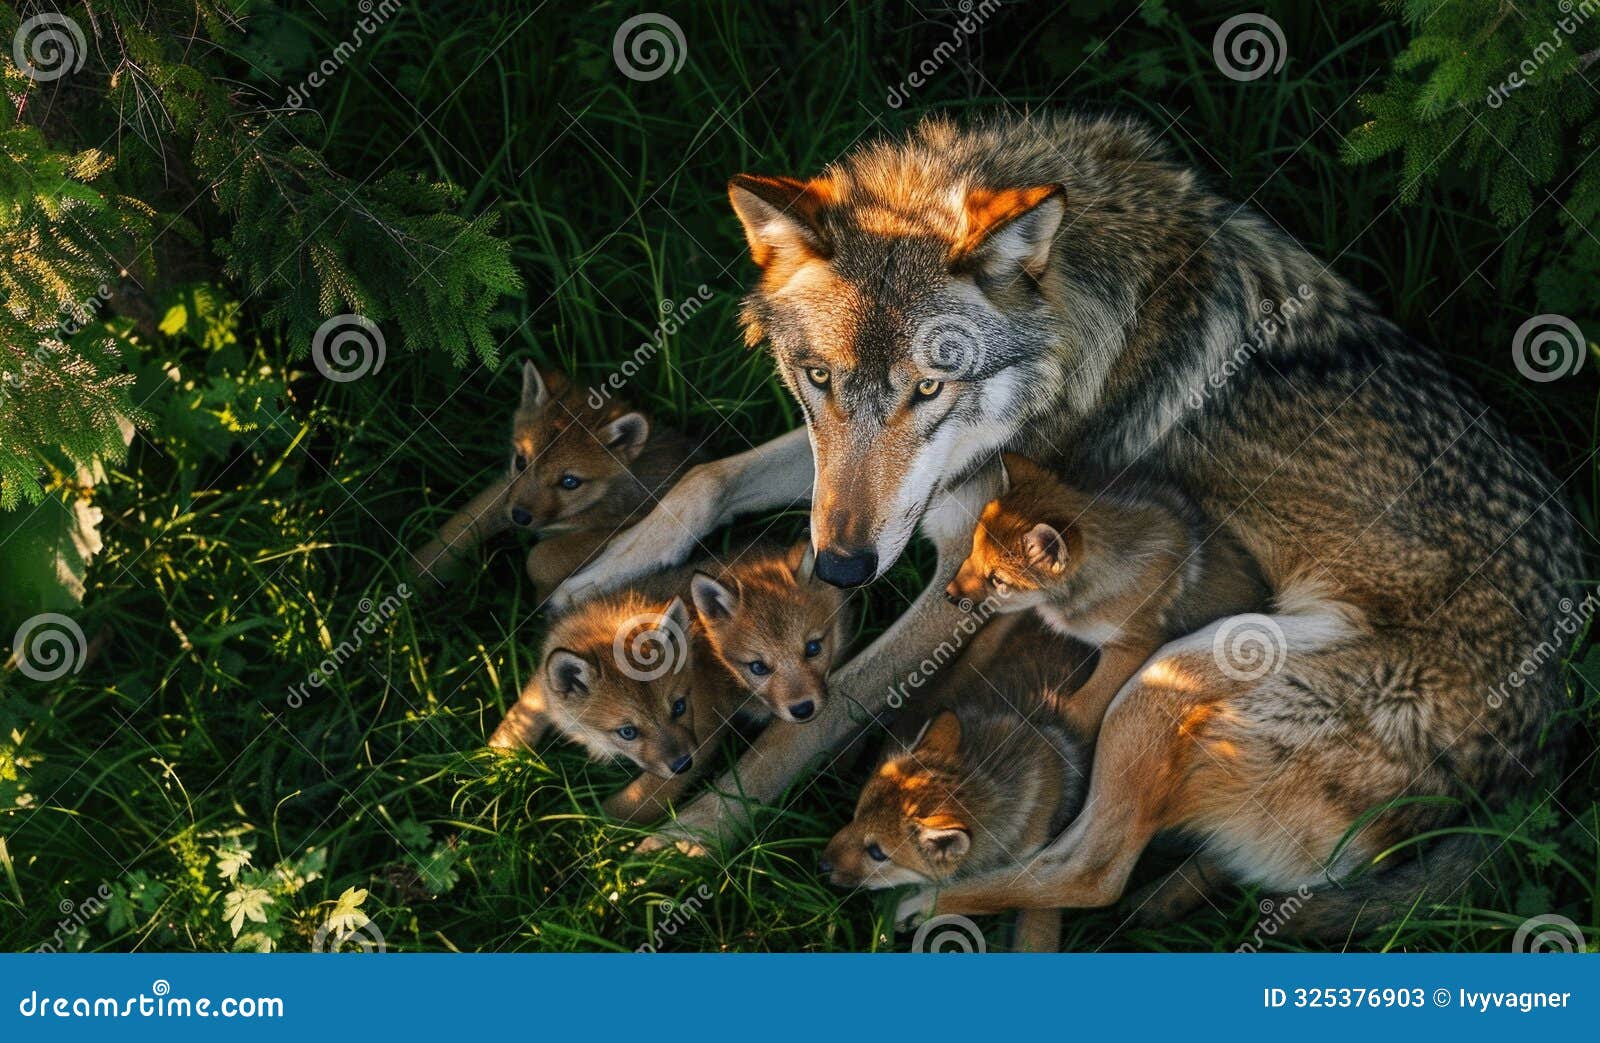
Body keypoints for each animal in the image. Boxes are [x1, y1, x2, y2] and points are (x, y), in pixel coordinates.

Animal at [551, 111, 1581, 935]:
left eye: (930, 388)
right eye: (819, 380)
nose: (841, 572)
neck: (1082, 313)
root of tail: (1533, 769)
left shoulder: (961, 573)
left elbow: (812, 721)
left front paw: (684, 845)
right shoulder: (867, 501)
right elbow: (708, 479)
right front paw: (599, 578)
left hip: (1178, 672)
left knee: (1093, 871)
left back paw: (926, 895)